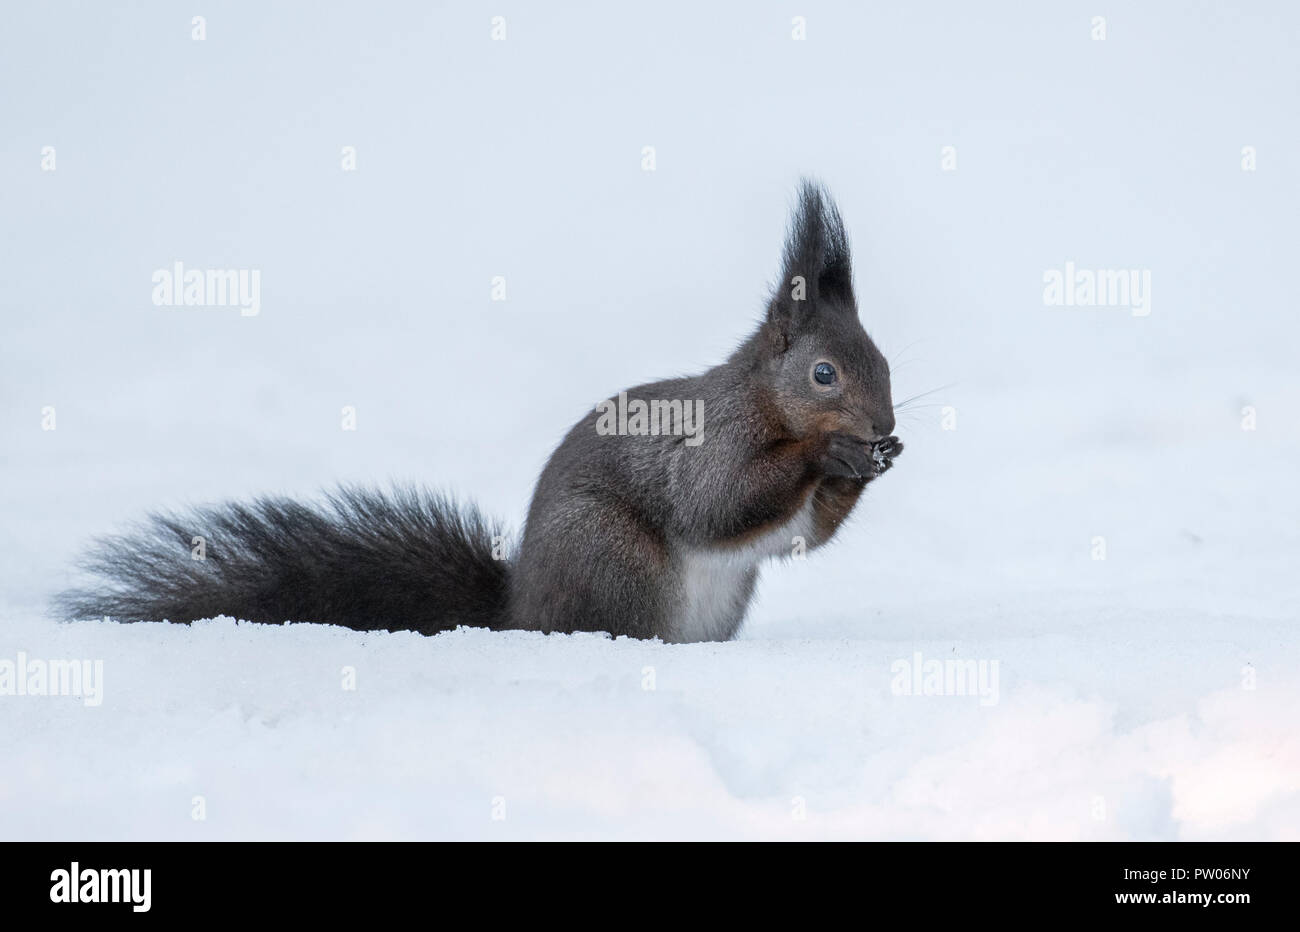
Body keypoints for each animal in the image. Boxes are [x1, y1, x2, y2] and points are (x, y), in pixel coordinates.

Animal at [57, 181, 902, 643]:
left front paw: (872, 468)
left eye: (888, 363)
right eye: (824, 374)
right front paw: (828, 455)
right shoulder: (712, 442)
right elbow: (719, 502)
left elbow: (801, 534)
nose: (886, 428)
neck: (763, 401)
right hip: (613, 557)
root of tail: (518, 615)